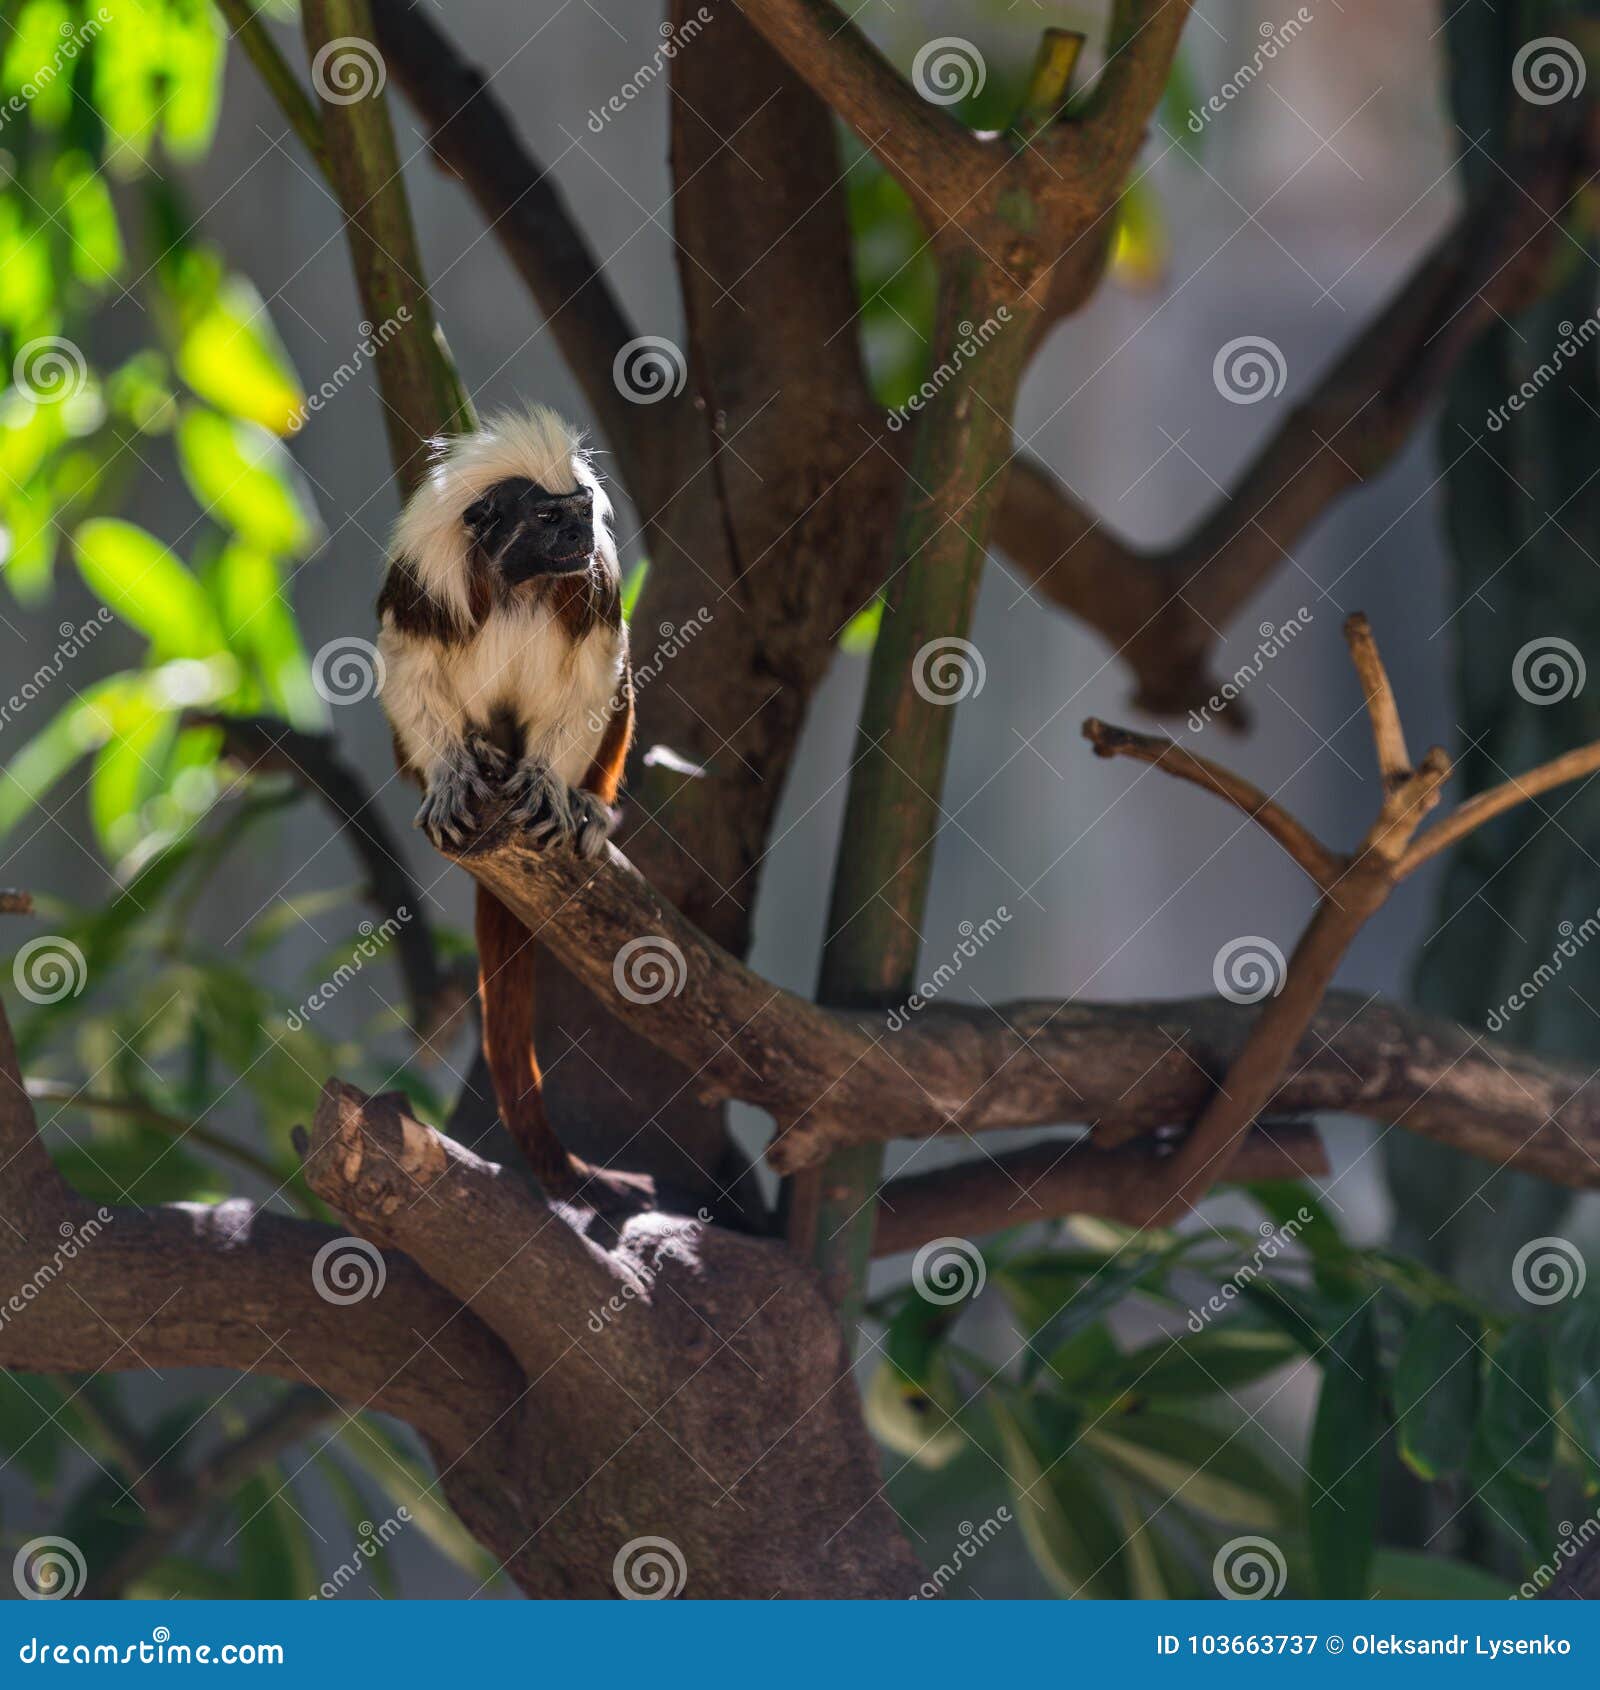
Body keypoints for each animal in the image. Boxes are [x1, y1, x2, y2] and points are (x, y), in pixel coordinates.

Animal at [376, 405, 633, 1196]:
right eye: (548, 519)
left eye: (580, 515)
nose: (578, 538)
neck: (517, 584)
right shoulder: (422, 591)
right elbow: (410, 673)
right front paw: (455, 774)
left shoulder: (593, 592)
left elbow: (596, 677)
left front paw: (552, 788)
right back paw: (484, 760)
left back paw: (587, 806)